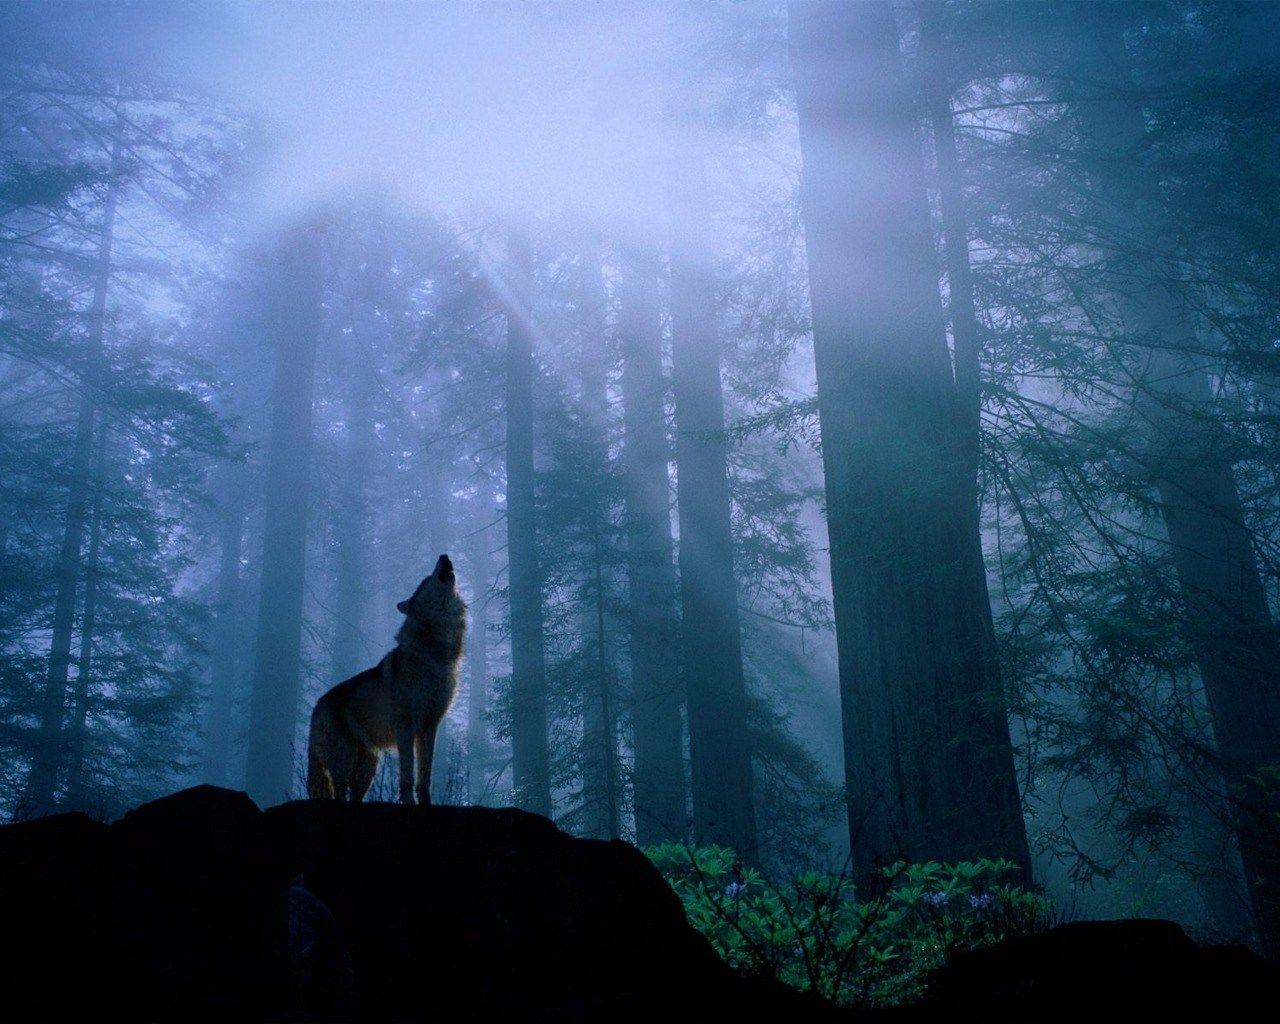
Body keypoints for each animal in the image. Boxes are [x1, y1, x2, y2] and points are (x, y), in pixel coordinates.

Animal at [307, 554, 467, 805]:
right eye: (426, 579)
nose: (444, 556)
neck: (435, 654)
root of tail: (316, 706)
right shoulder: (406, 728)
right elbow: (407, 775)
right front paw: (409, 803)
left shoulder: (430, 726)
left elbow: (425, 776)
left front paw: (426, 804)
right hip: (344, 762)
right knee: (339, 794)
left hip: (367, 768)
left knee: (354, 797)